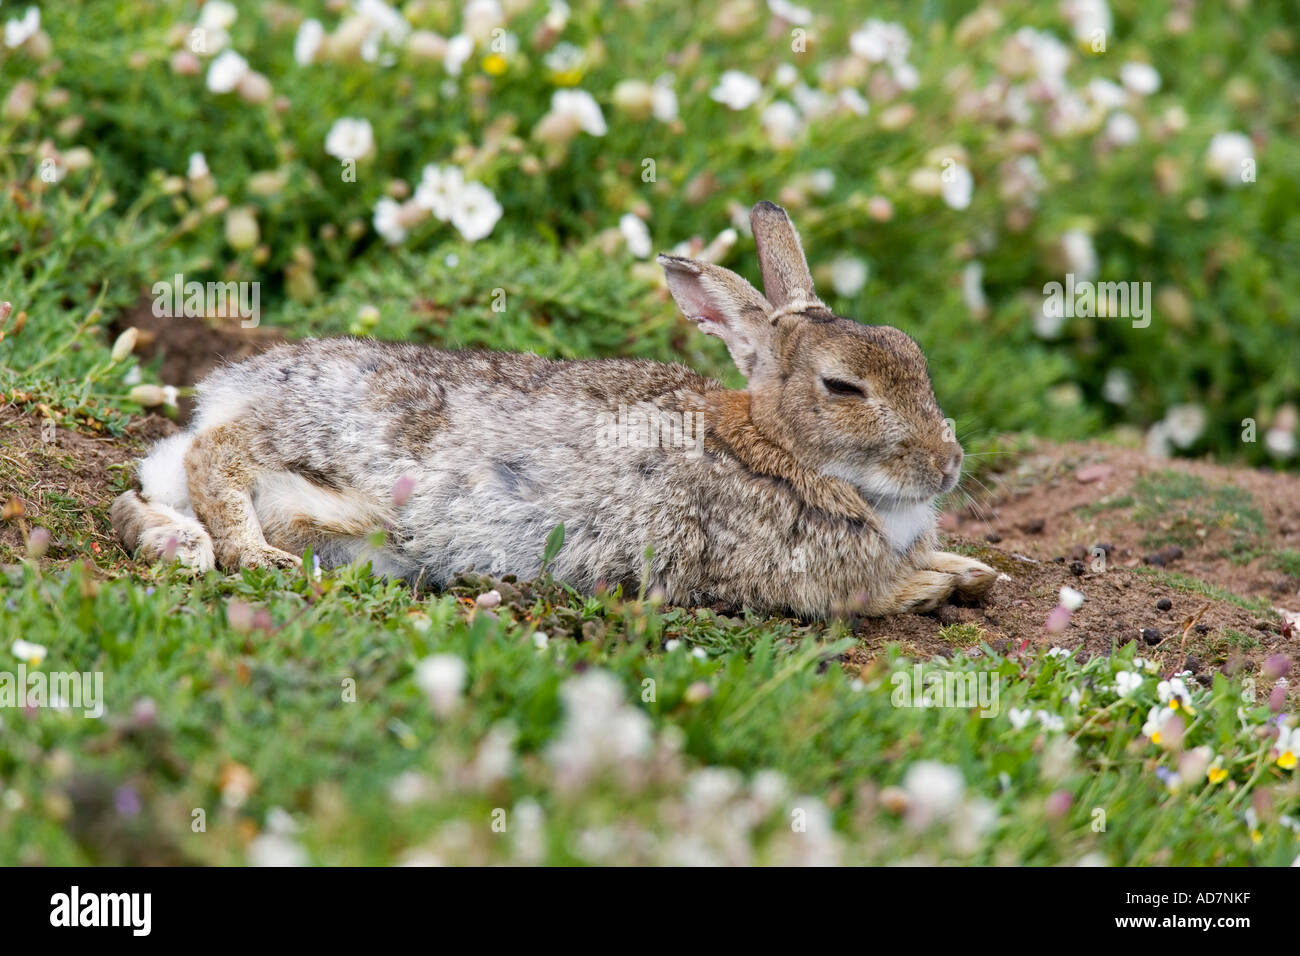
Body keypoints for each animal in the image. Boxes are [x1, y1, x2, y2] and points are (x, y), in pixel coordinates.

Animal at [112, 201, 997, 618]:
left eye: (912, 353)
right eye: (844, 388)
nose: (948, 465)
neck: (774, 450)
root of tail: (237, 385)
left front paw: (971, 570)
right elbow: (869, 594)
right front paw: (940, 585)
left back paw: (178, 542)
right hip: (322, 429)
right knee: (215, 457)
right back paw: (248, 553)